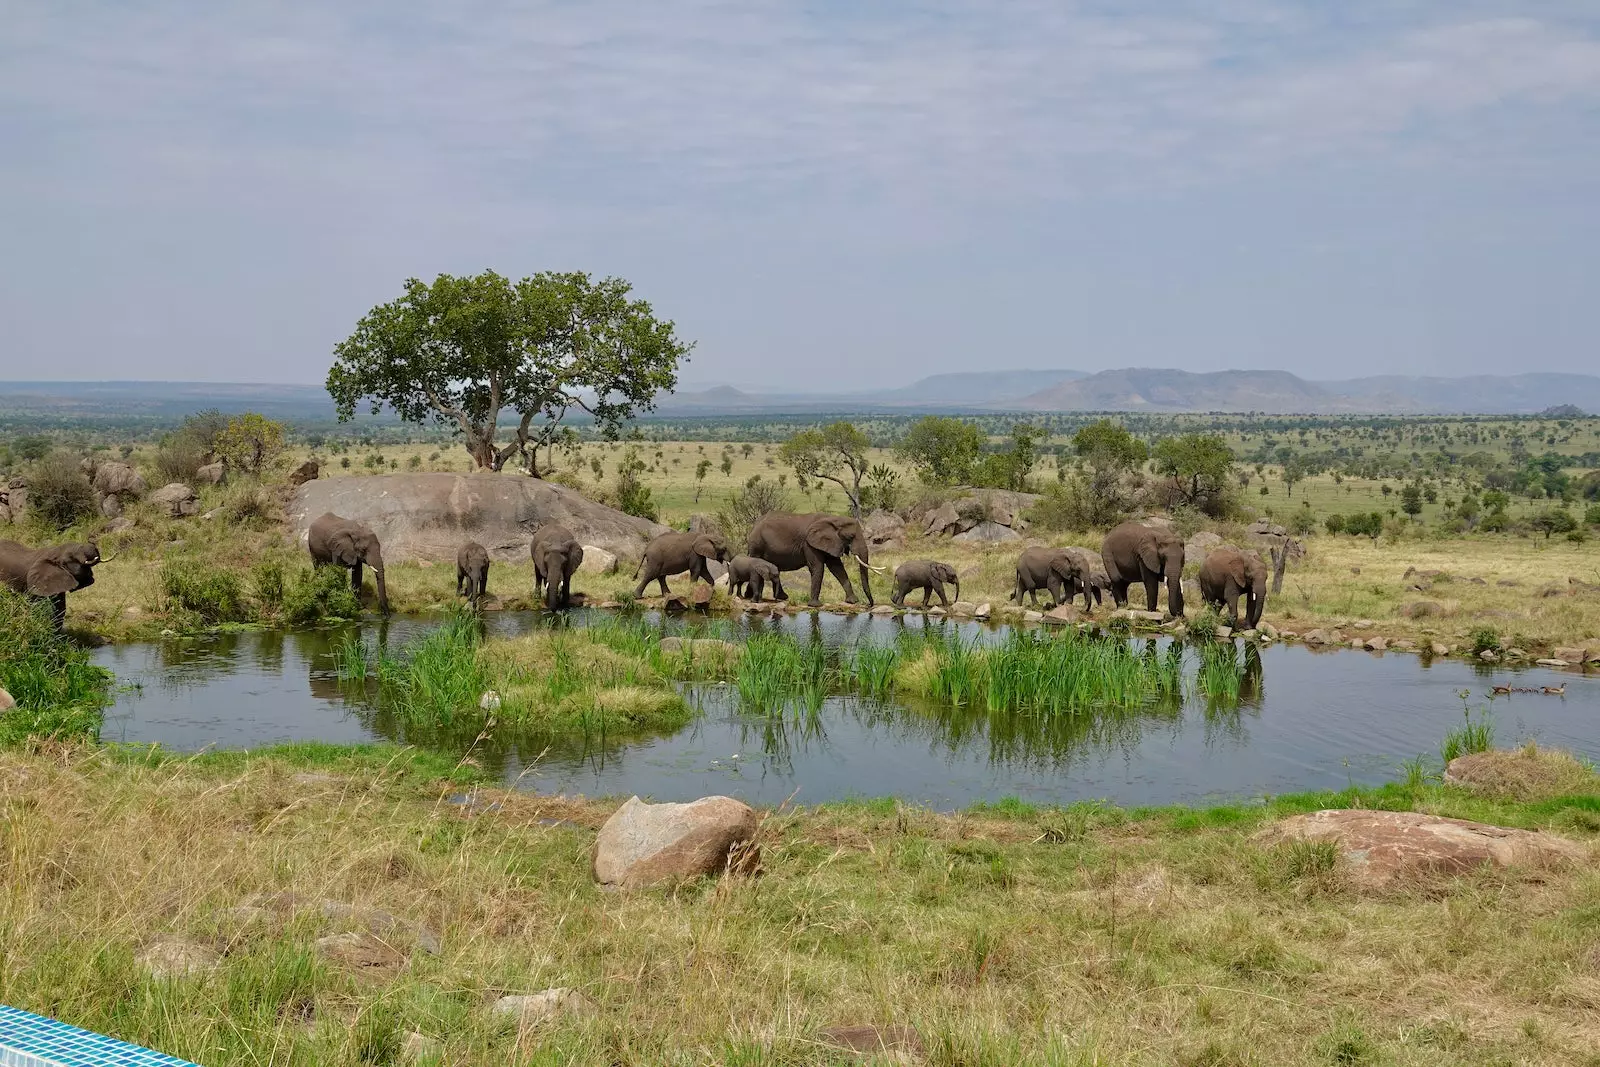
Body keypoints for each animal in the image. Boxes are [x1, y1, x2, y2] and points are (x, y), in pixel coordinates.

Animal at [745, 511, 876, 604]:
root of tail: (754, 525)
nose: (870, 604)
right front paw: (815, 605)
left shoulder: (831, 543)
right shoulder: (808, 544)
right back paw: (752, 597)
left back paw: (781, 598)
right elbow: (818, 568)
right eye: (851, 536)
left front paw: (853, 601)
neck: (832, 518)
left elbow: (837, 567)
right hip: (757, 545)